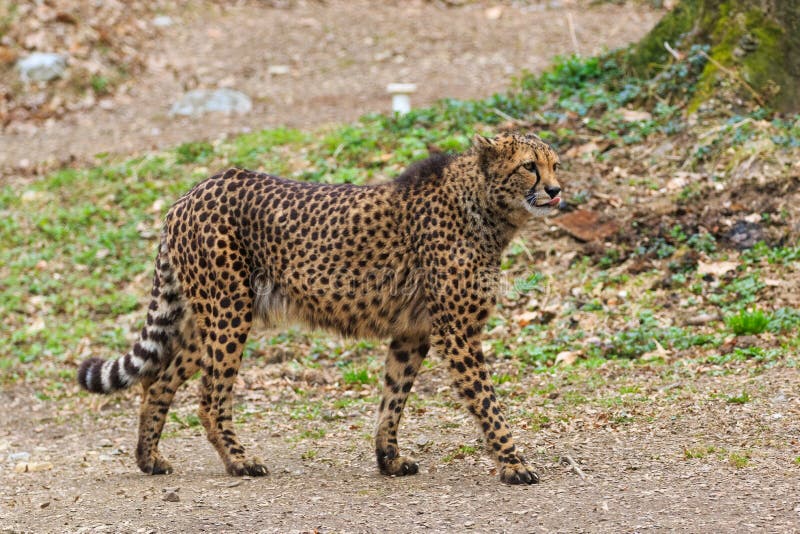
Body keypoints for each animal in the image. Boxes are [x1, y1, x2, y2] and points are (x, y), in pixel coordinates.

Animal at [77, 131, 563, 485]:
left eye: (556, 164)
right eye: (529, 166)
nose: (557, 191)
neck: (485, 206)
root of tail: (192, 191)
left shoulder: (414, 332)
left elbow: (394, 396)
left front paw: (389, 459)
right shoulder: (456, 332)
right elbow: (487, 401)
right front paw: (514, 463)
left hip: (205, 319)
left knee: (158, 379)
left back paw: (149, 459)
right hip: (229, 313)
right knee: (209, 397)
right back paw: (239, 462)